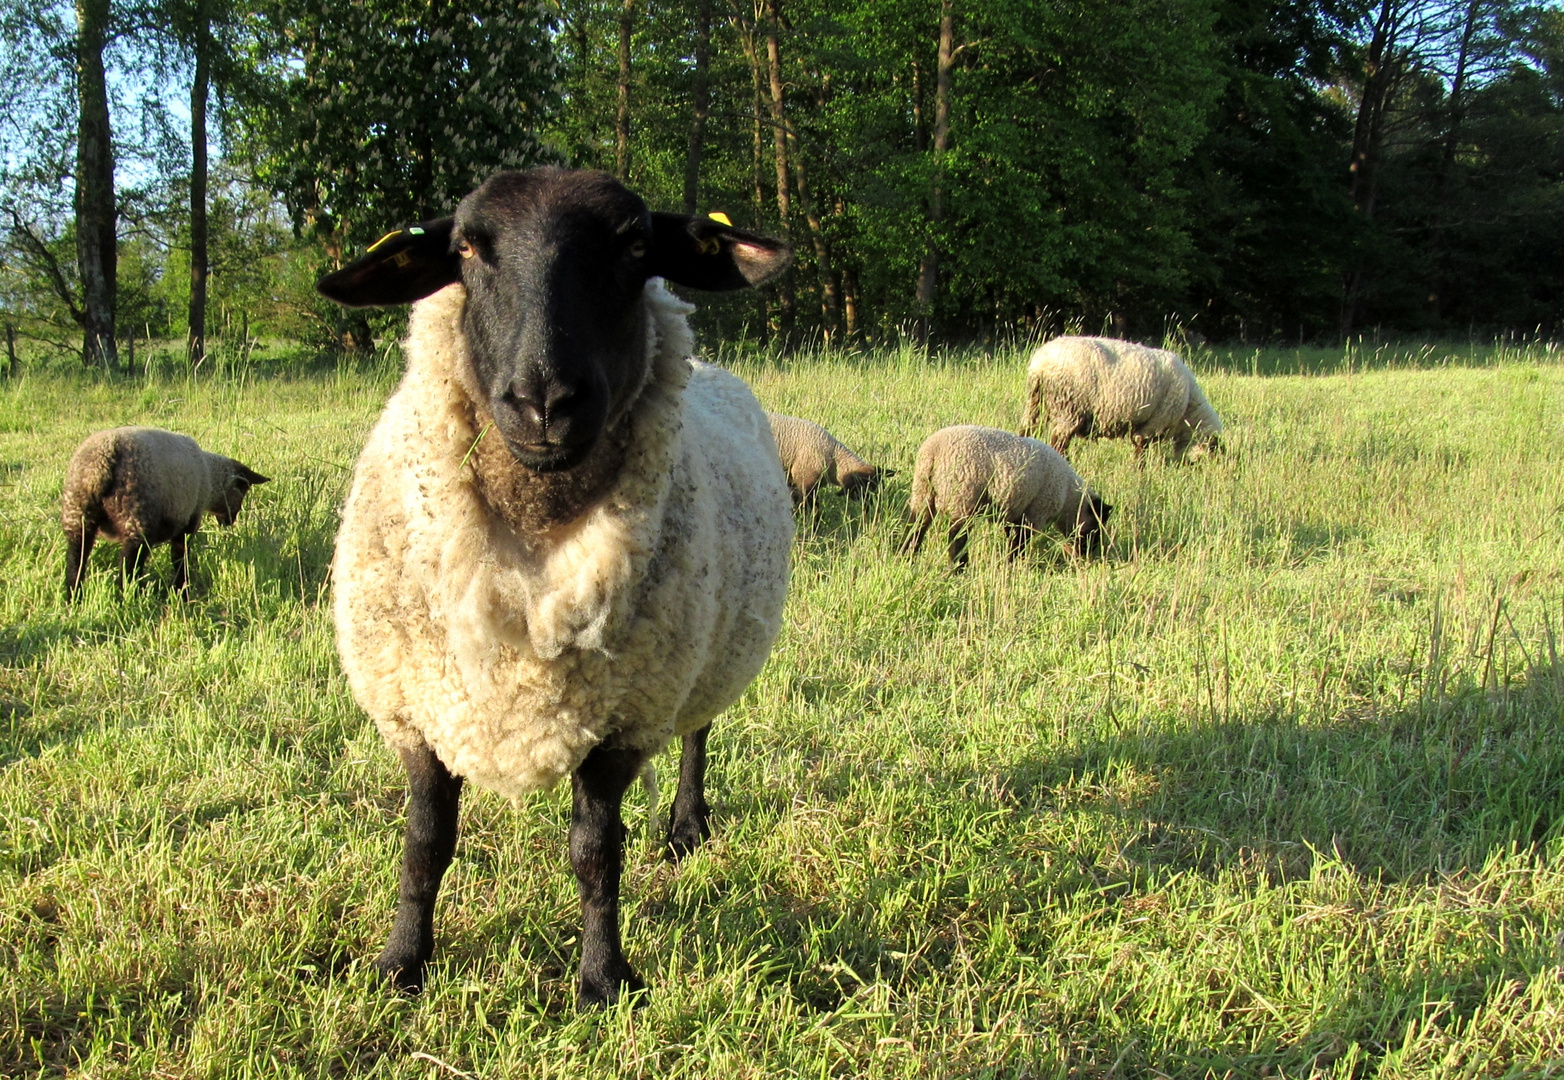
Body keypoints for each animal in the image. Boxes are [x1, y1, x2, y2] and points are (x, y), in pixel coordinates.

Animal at [60, 425, 269, 600]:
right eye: (243, 490)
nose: (230, 522)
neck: (210, 478)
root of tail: (100, 464)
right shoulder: (187, 522)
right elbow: (179, 559)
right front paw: (181, 589)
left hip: (77, 516)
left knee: (75, 563)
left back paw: (73, 599)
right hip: (137, 517)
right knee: (129, 566)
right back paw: (130, 597)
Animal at [319, 164, 800, 1012]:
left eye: (636, 246)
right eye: (467, 247)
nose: (544, 400)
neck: (535, 539)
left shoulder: (626, 717)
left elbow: (594, 851)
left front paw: (604, 979)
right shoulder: (416, 707)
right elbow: (424, 844)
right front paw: (402, 964)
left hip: (707, 652)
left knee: (698, 731)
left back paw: (687, 824)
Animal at [766, 412, 894, 512]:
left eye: (878, 488)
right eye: (863, 489)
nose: (872, 508)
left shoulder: (794, 482)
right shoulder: (805, 481)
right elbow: (813, 509)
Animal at [907, 425, 1113, 568]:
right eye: (1096, 527)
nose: (1087, 554)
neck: (1068, 498)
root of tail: (933, 452)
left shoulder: (1014, 510)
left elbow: (1012, 537)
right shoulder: (1035, 512)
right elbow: (1020, 542)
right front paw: (1014, 564)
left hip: (923, 490)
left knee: (916, 525)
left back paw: (907, 555)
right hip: (963, 495)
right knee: (957, 537)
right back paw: (960, 568)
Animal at [1019, 334, 1226, 459]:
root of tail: (1040, 363)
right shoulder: (1153, 424)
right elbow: (1140, 451)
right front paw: (1139, 474)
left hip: (1035, 402)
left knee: (1026, 430)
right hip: (1069, 407)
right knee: (1059, 442)